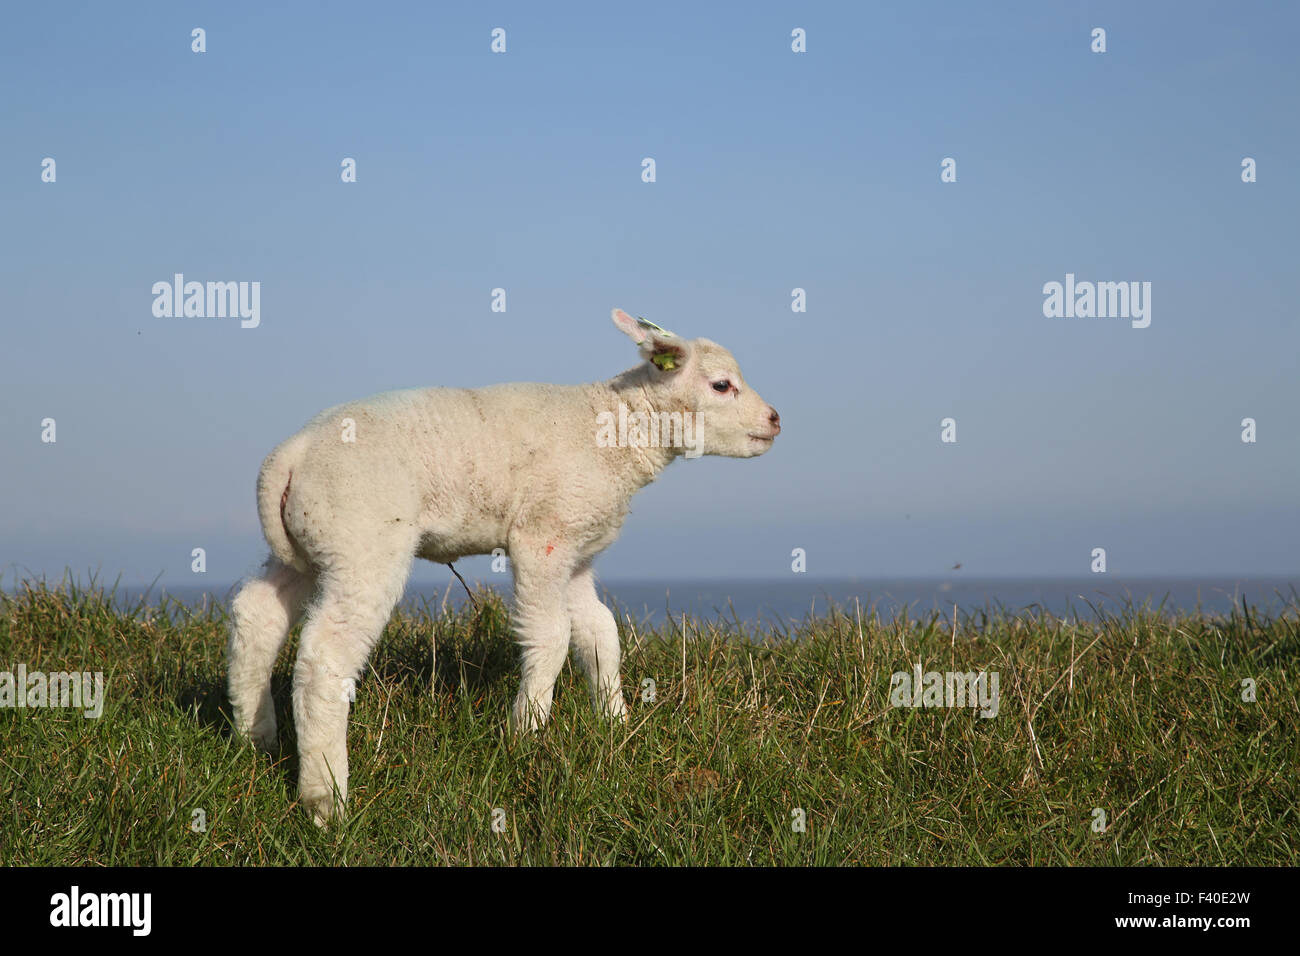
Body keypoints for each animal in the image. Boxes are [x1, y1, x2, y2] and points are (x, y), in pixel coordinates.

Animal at [226, 308, 781, 824]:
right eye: (721, 385)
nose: (776, 419)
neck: (616, 428)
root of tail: (290, 455)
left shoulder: (576, 550)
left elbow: (600, 633)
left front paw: (615, 723)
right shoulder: (543, 536)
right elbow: (551, 635)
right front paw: (527, 732)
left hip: (310, 546)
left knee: (258, 614)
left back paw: (255, 737)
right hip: (362, 543)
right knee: (324, 660)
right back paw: (326, 800)